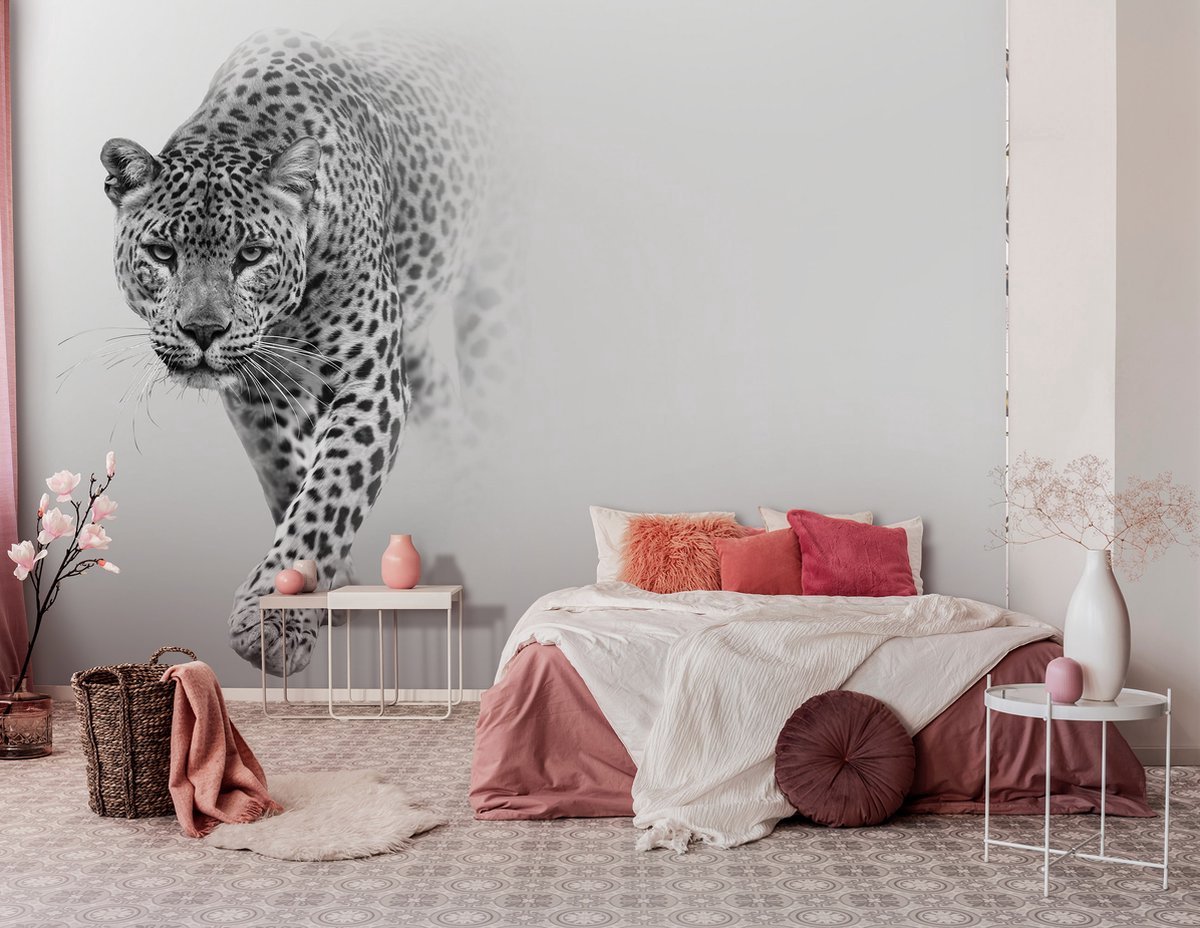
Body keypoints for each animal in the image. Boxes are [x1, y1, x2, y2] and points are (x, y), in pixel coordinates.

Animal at [101, 26, 515, 675]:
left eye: (251, 255)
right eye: (163, 253)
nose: (202, 331)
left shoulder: (371, 387)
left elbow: (329, 493)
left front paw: (272, 623)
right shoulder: (255, 392)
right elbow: (288, 478)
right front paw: (325, 588)